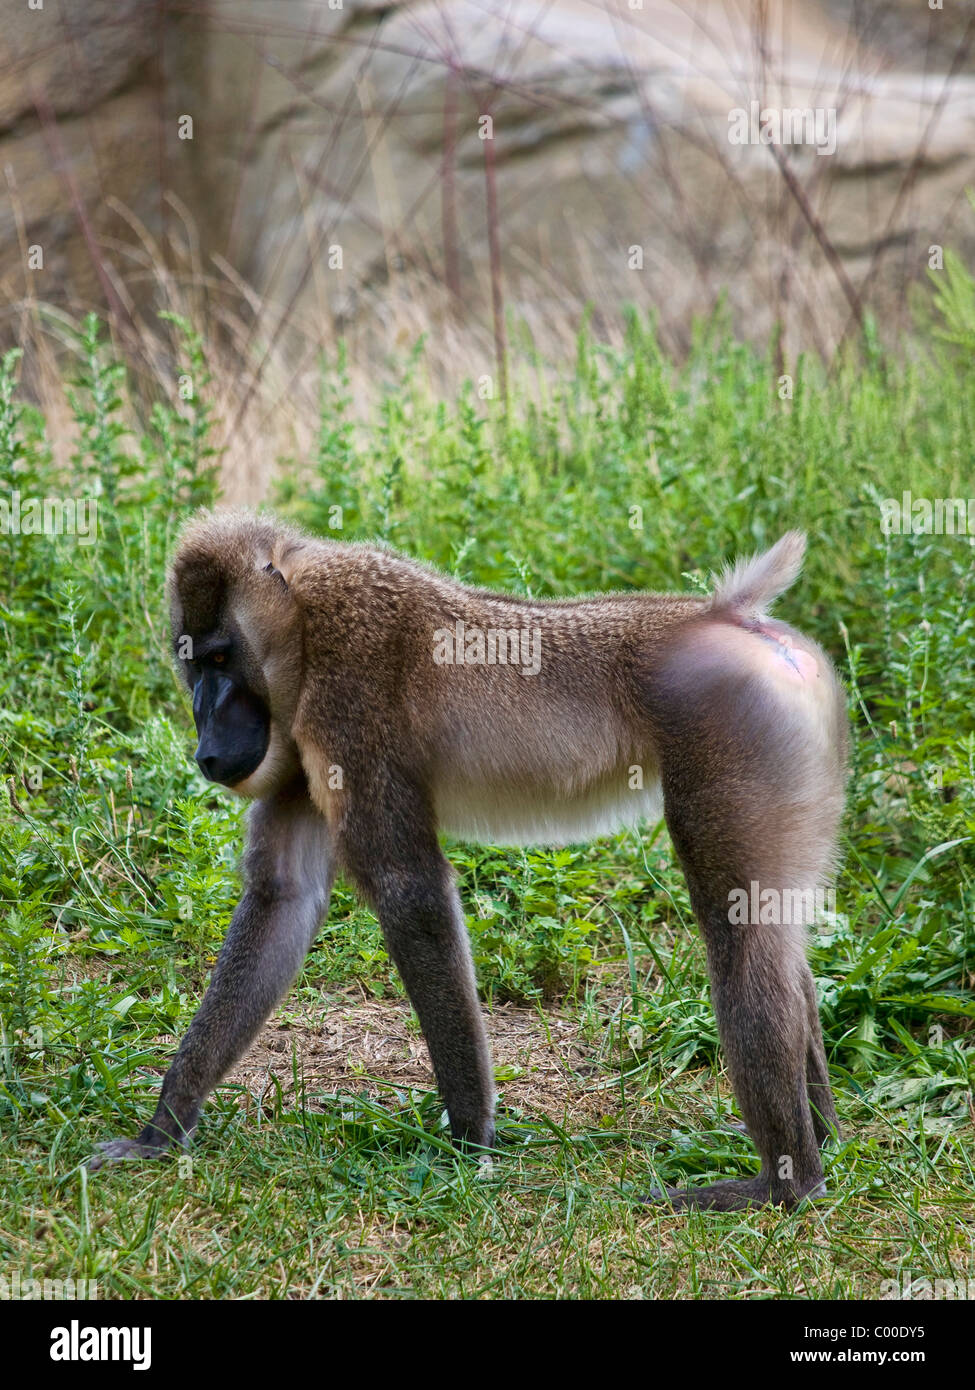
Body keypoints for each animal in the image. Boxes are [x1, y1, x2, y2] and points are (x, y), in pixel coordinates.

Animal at [90, 511, 847, 1212]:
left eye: (222, 660)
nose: (206, 742)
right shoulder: (302, 758)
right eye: (192, 662)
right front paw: (162, 1130)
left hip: (728, 725)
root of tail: (721, 616)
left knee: (741, 930)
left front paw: (467, 1140)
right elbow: (284, 897)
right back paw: (824, 1142)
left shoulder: (349, 701)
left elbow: (410, 893)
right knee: (778, 934)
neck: (301, 616)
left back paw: (785, 1185)